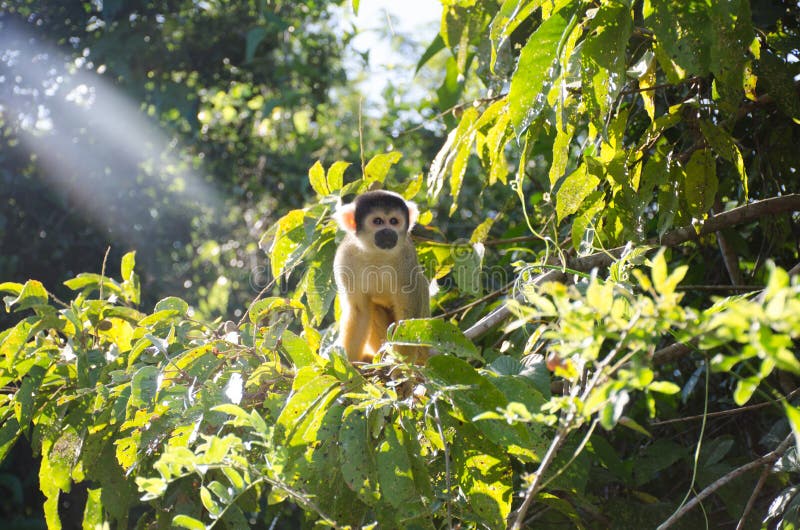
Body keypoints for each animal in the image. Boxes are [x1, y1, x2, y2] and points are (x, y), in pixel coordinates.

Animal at [333, 190, 430, 364]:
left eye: (394, 221)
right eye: (377, 221)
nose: (388, 232)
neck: (376, 254)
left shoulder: (406, 256)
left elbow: (408, 313)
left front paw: (401, 365)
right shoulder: (345, 258)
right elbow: (359, 311)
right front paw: (348, 365)